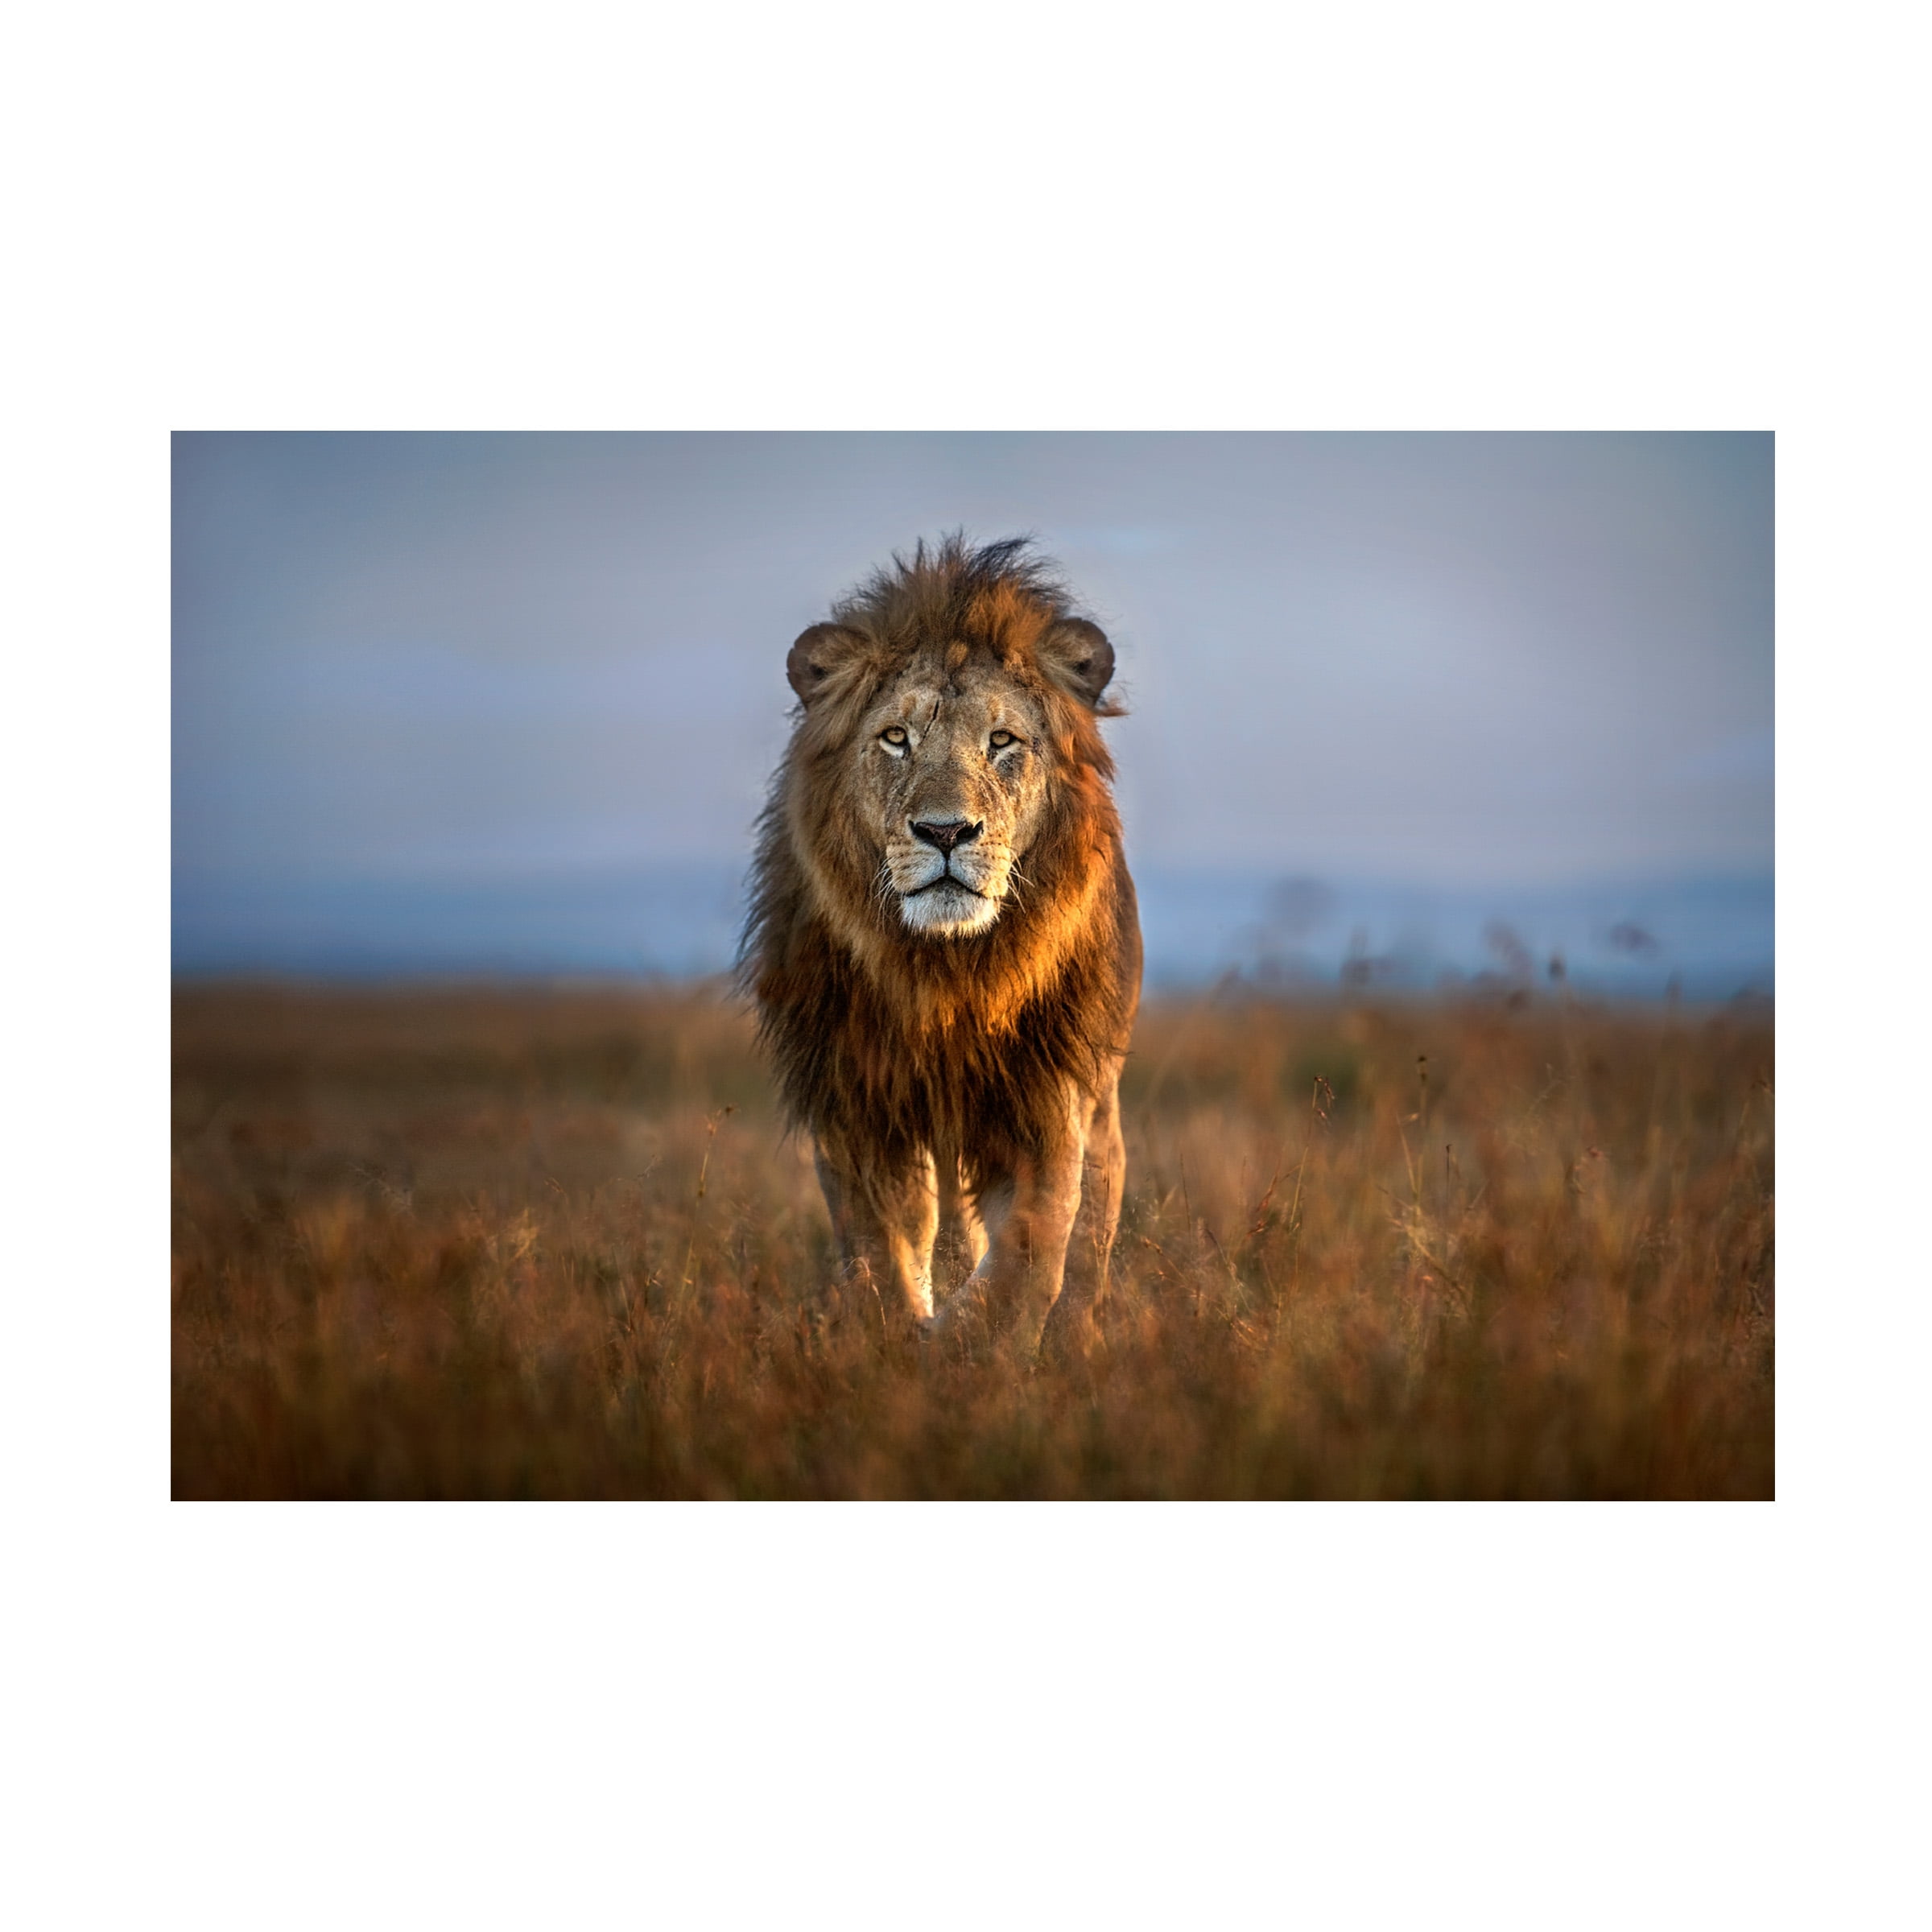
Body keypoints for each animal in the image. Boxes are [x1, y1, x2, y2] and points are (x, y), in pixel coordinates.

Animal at [740, 535, 1142, 1353]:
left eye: (1002, 741)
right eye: (896, 738)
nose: (947, 832)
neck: (948, 972)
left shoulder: (1047, 1097)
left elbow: (1030, 1250)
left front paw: (971, 1348)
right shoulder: (856, 1102)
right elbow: (882, 1249)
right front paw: (899, 1343)